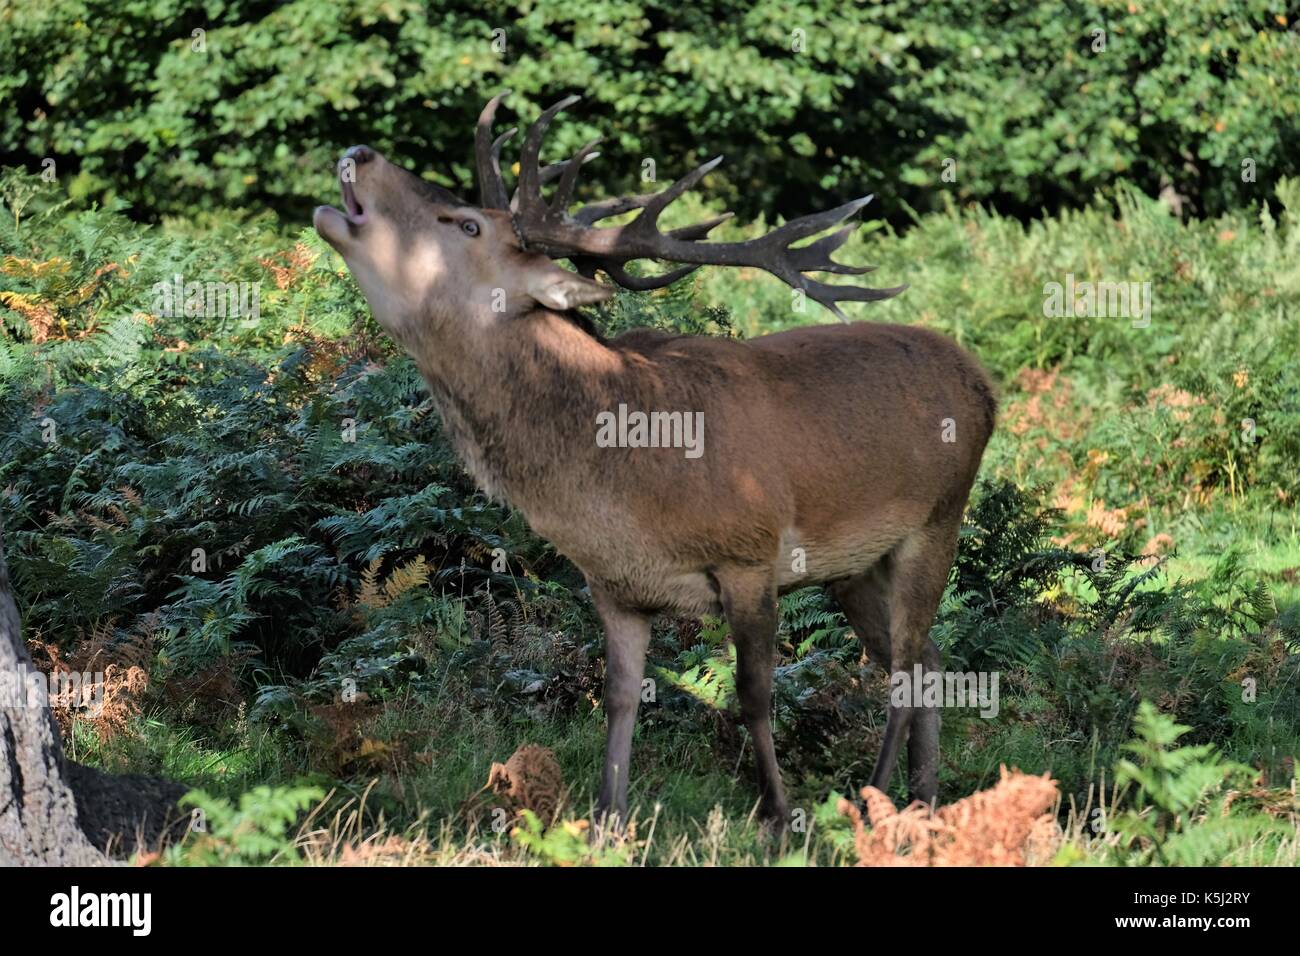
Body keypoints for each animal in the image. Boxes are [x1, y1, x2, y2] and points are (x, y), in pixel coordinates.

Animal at [313, 92, 996, 828]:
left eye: (466, 223)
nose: (359, 153)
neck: (626, 483)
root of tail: (983, 382)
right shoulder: (613, 585)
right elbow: (617, 698)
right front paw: (607, 819)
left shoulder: (749, 554)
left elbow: (753, 693)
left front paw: (777, 818)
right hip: (855, 565)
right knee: (926, 655)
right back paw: (925, 799)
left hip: (939, 518)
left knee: (905, 665)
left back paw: (879, 801)